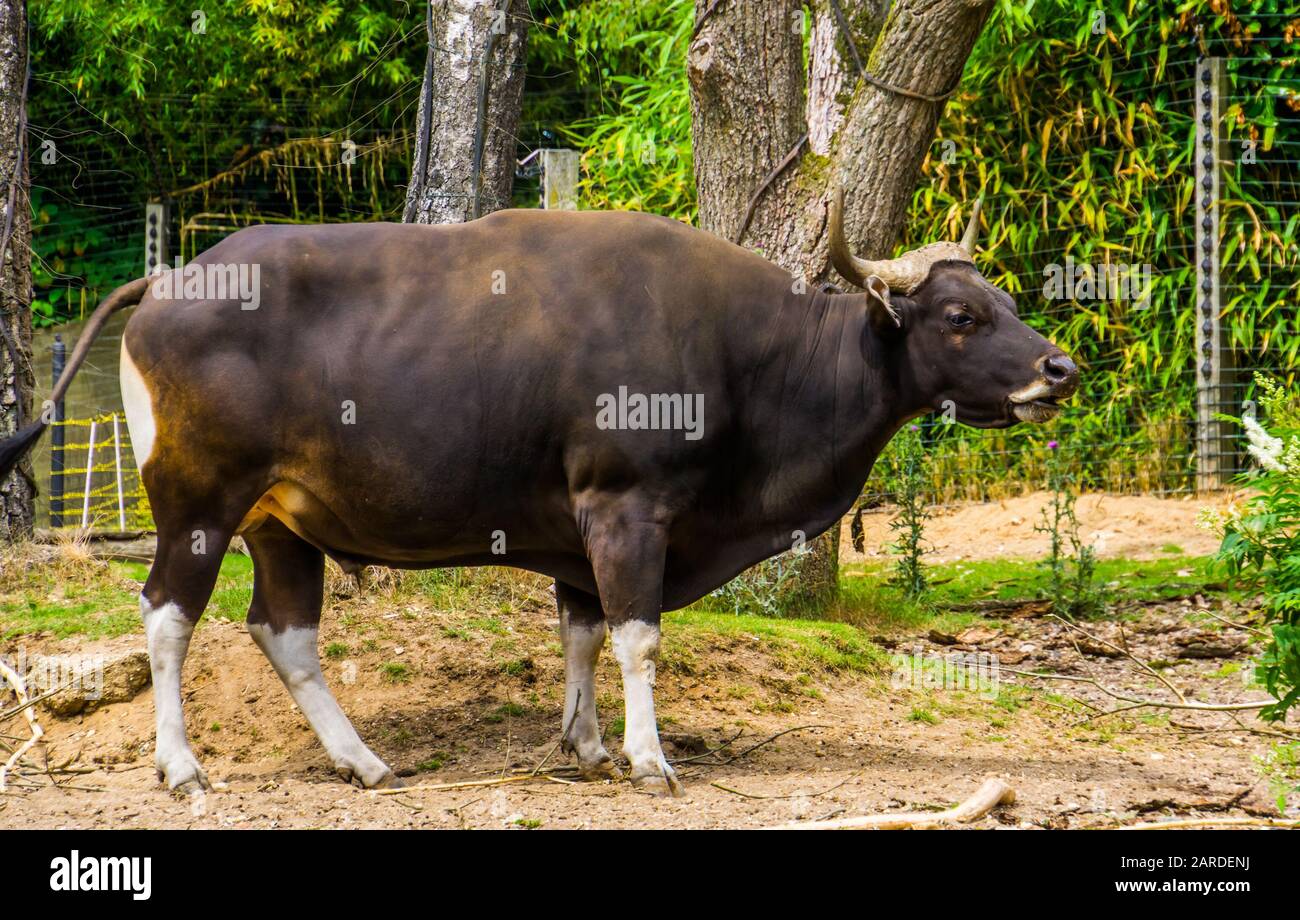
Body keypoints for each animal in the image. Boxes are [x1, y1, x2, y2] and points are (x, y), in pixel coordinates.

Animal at [0, 189, 1078, 797]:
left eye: (1006, 300)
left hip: (280, 518)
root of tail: (164, 282)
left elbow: (582, 630)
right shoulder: (626, 505)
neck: (750, 357)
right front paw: (646, 759)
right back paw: (182, 767)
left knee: (284, 628)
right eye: (958, 314)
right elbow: (638, 635)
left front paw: (587, 745)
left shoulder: (577, 531)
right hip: (197, 503)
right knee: (167, 616)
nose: (1058, 369)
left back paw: (362, 761)